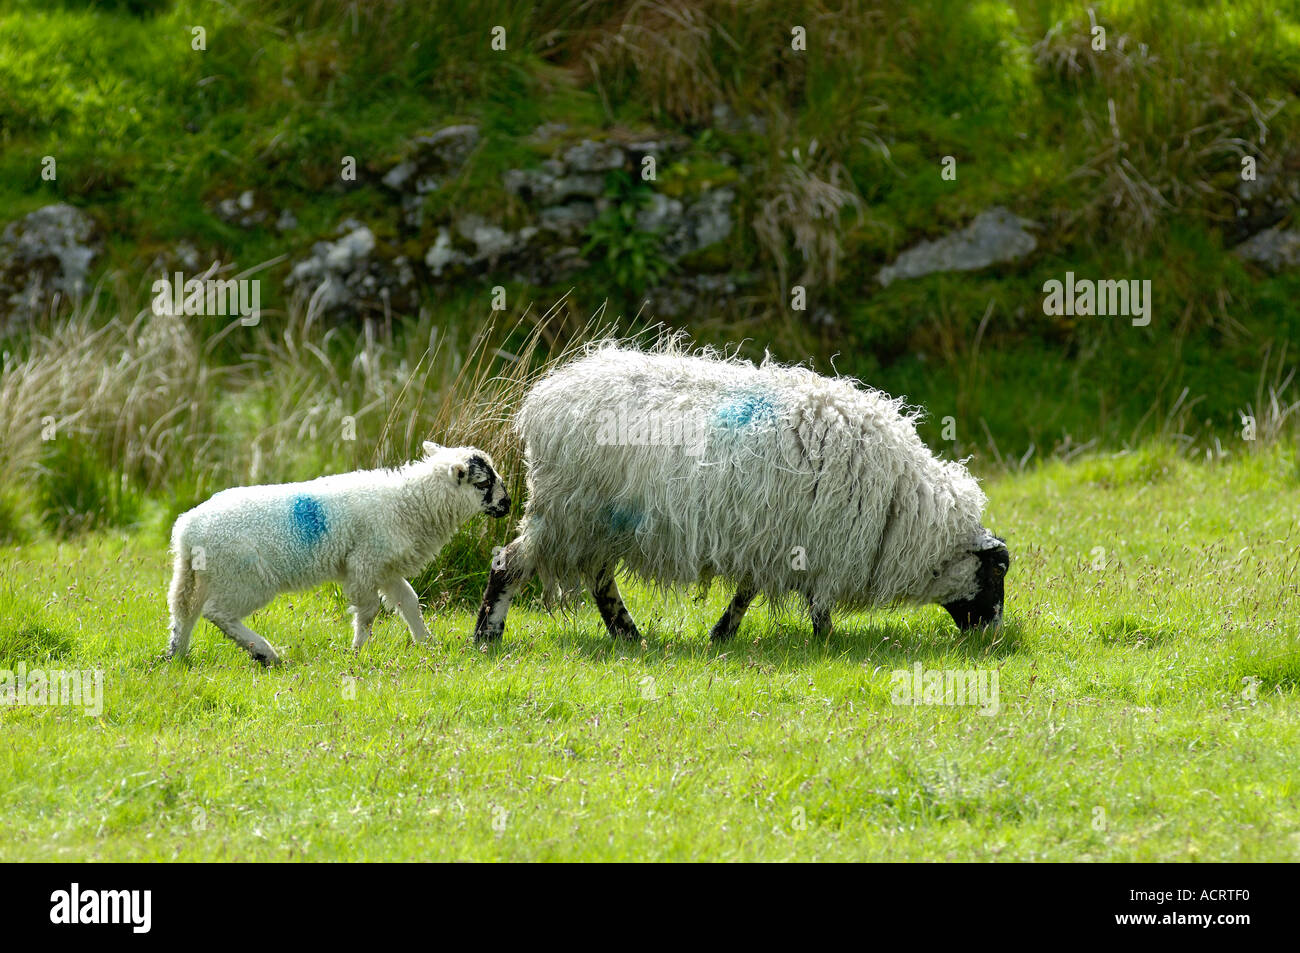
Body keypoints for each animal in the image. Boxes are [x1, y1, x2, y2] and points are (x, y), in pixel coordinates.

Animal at [168, 441, 510, 665]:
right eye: (483, 482)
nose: (507, 504)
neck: (412, 503)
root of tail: (188, 529)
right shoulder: (365, 562)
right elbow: (369, 611)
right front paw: (358, 652)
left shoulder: (385, 567)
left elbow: (410, 602)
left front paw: (428, 645)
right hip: (245, 576)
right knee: (217, 613)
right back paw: (265, 653)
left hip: (201, 574)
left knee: (185, 612)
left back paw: (177, 655)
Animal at [474, 342, 1008, 644]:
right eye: (998, 570)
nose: (993, 635)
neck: (901, 504)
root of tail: (547, 397)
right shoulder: (811, 539)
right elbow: (806, 598)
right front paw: (825, 638)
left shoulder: (777, 540)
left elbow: (749, 591)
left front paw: (724, 633)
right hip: (570, 511)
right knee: (511, 564)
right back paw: (488, 635)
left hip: (597, 518)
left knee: (600, 581)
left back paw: (628, 636)